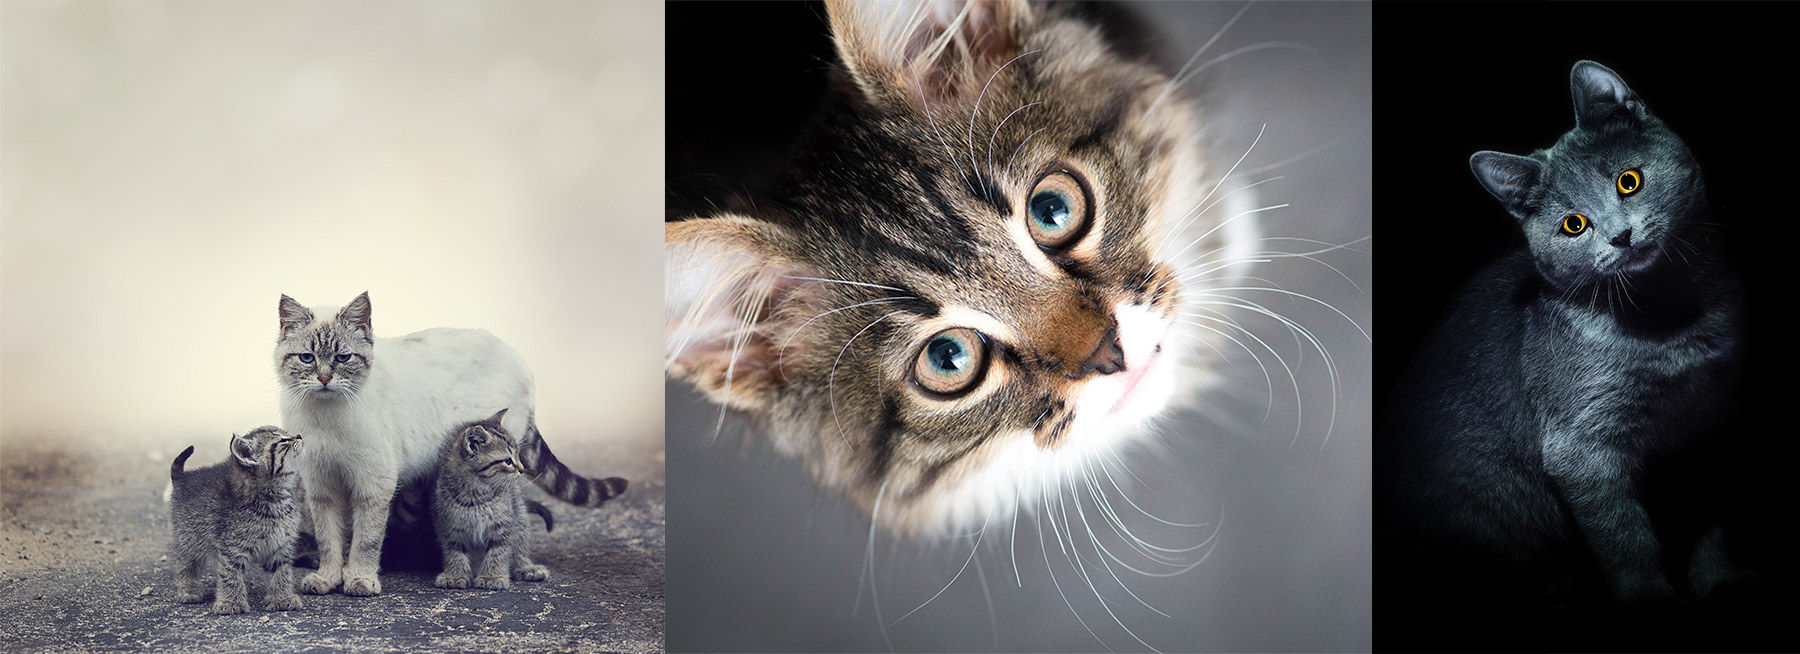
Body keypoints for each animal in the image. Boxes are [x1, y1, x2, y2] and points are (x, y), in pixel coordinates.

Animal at [169, 426, 306, 616]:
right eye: (282, 440)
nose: (299, 435)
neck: (275, 499)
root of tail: (183, 477)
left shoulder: (281, 544)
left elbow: (282, 569)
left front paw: (282, 598)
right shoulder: (232, 546)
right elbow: (230, 573)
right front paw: (230, 602)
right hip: (190, 537)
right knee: (184, 562)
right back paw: (188, 590)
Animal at [432, 410, 550, 590]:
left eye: (518, 456)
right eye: (508, 461)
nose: (522, 469)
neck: (475, 496)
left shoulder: (503, 525)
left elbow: (498, 551)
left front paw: (491, 577)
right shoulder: (450, 526)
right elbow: (454, 551)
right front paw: (455, 575)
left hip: (520, 519)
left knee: (519, 549)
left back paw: (526, 568)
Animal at [1375, 61, 1742, 608]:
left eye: (1628, 181)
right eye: (1573, 225)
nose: (1620, 236)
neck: (1671, 320)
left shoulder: (1712, 419)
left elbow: (1711, 518)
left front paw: (1720, 584)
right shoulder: (1580, 446)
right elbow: (1625, 536)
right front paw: (1650, 599)